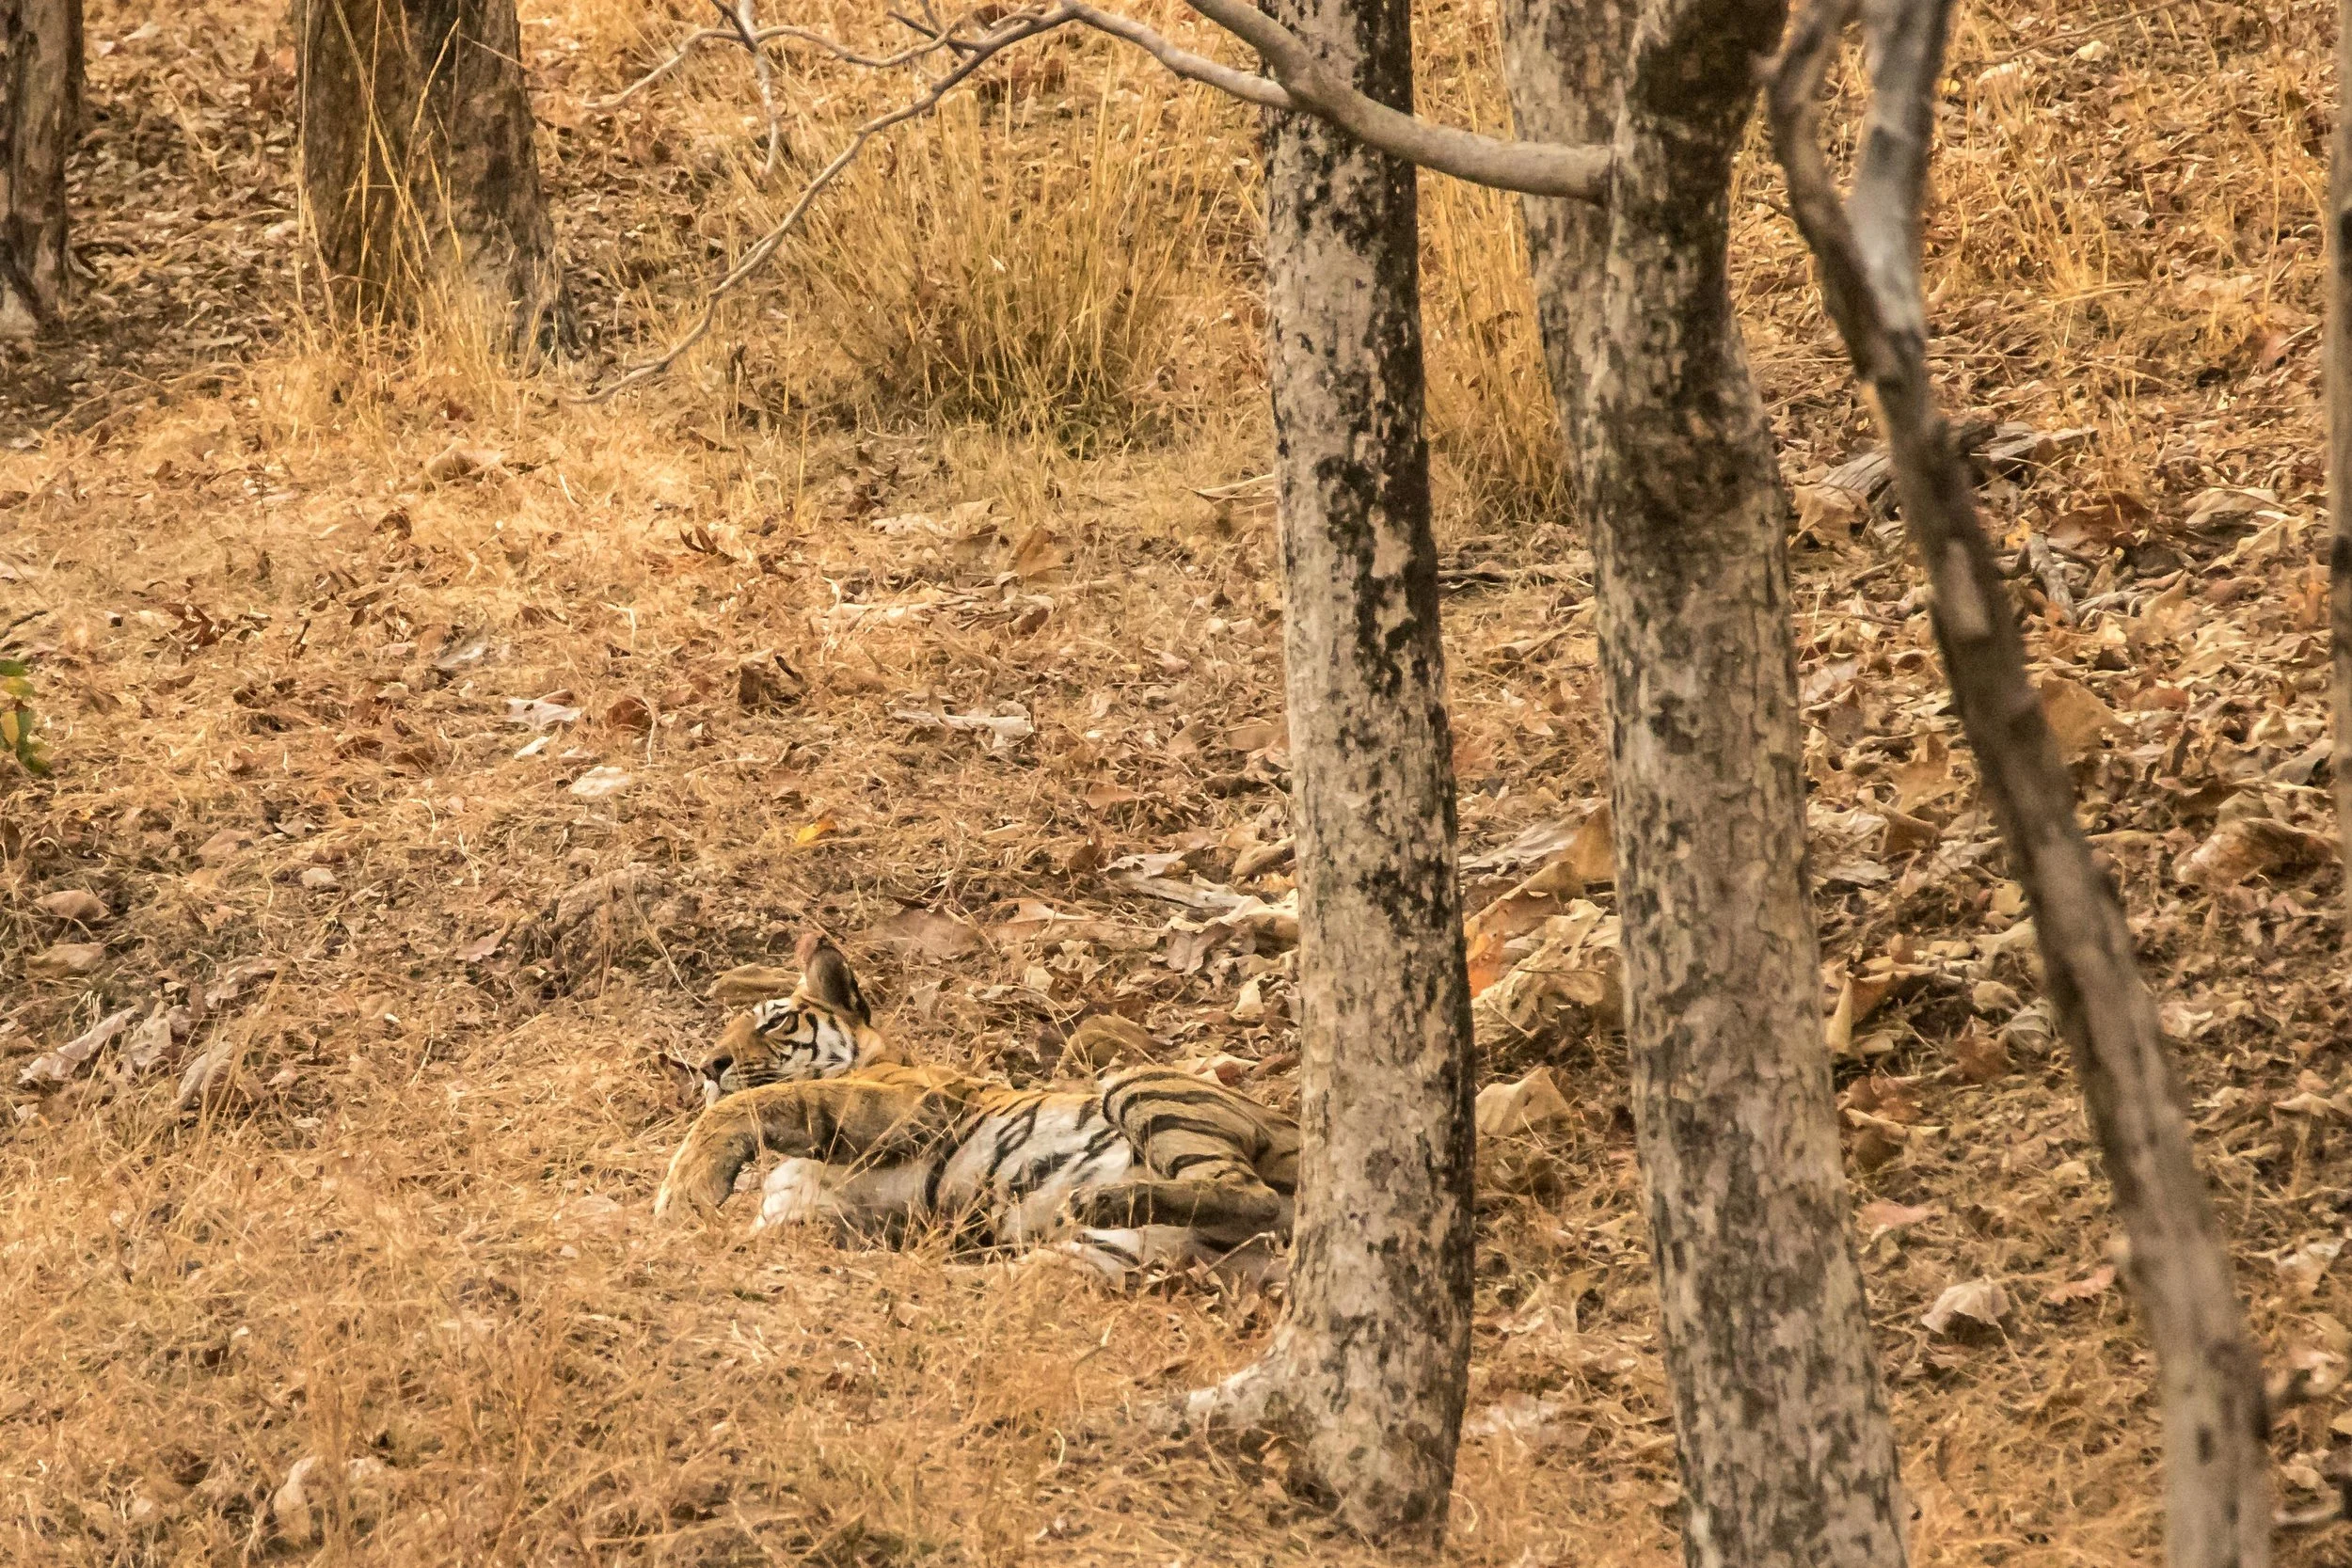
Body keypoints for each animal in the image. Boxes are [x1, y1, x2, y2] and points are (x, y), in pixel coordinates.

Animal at [656, 937, 1298, 1280]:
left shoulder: (909, 1103)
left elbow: (760, 1101)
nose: (708, 1065)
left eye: (775, 1021)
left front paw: (684, 1191)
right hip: (1113, 1250)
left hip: (1134, 1082)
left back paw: (1106, 1197)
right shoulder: (805, 1217)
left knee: (1254, 1195)